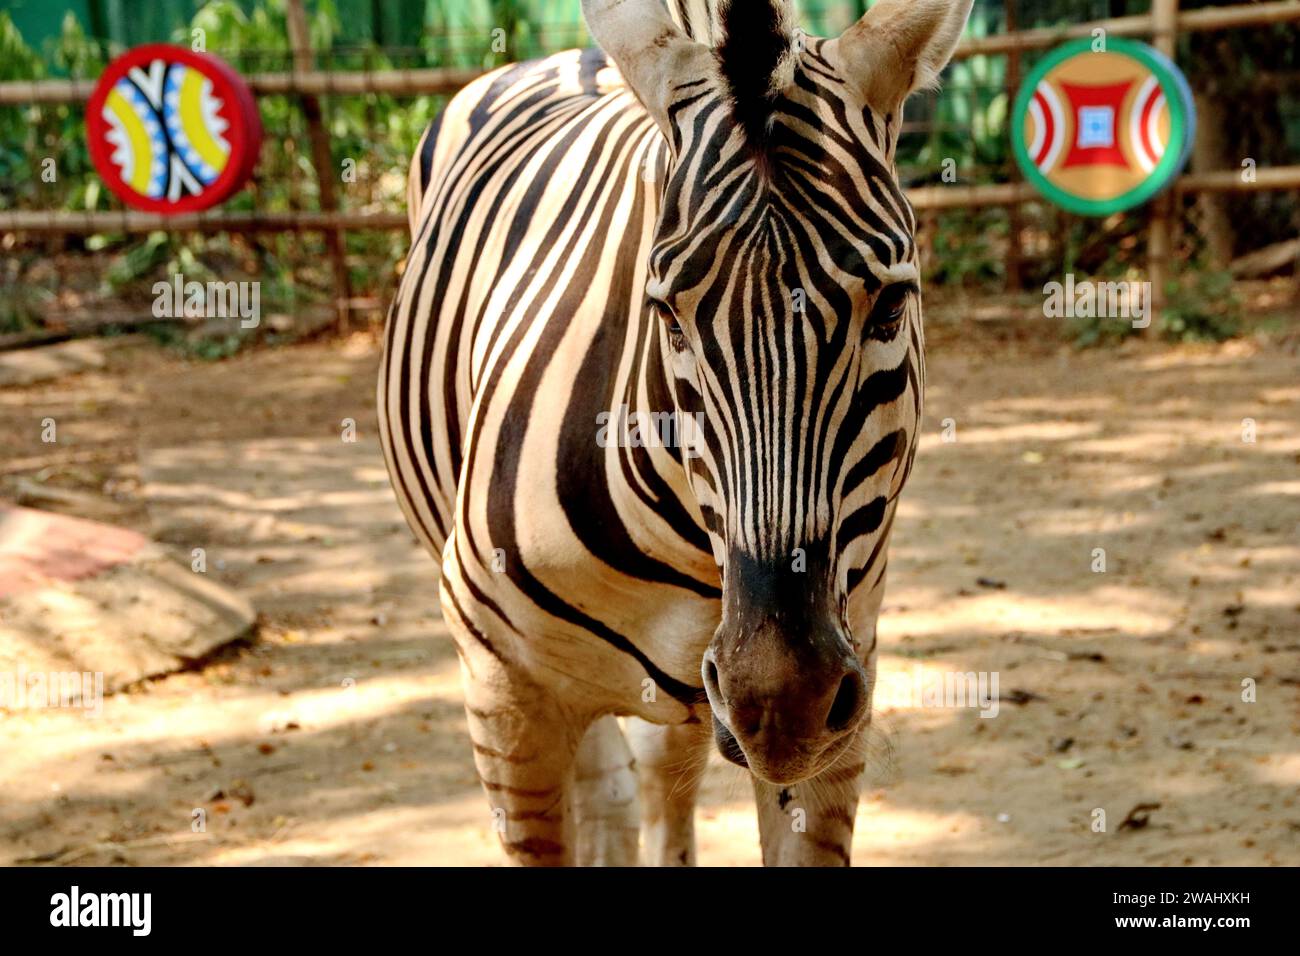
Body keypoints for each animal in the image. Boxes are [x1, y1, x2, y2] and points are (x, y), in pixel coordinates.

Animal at [379, 0, 972, 866]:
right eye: (667, 316)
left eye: (891, 307)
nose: (780, 701)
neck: (693, 556)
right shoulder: (502, 689)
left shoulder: (844, 683)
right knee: (611, 789)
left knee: (662, 773)